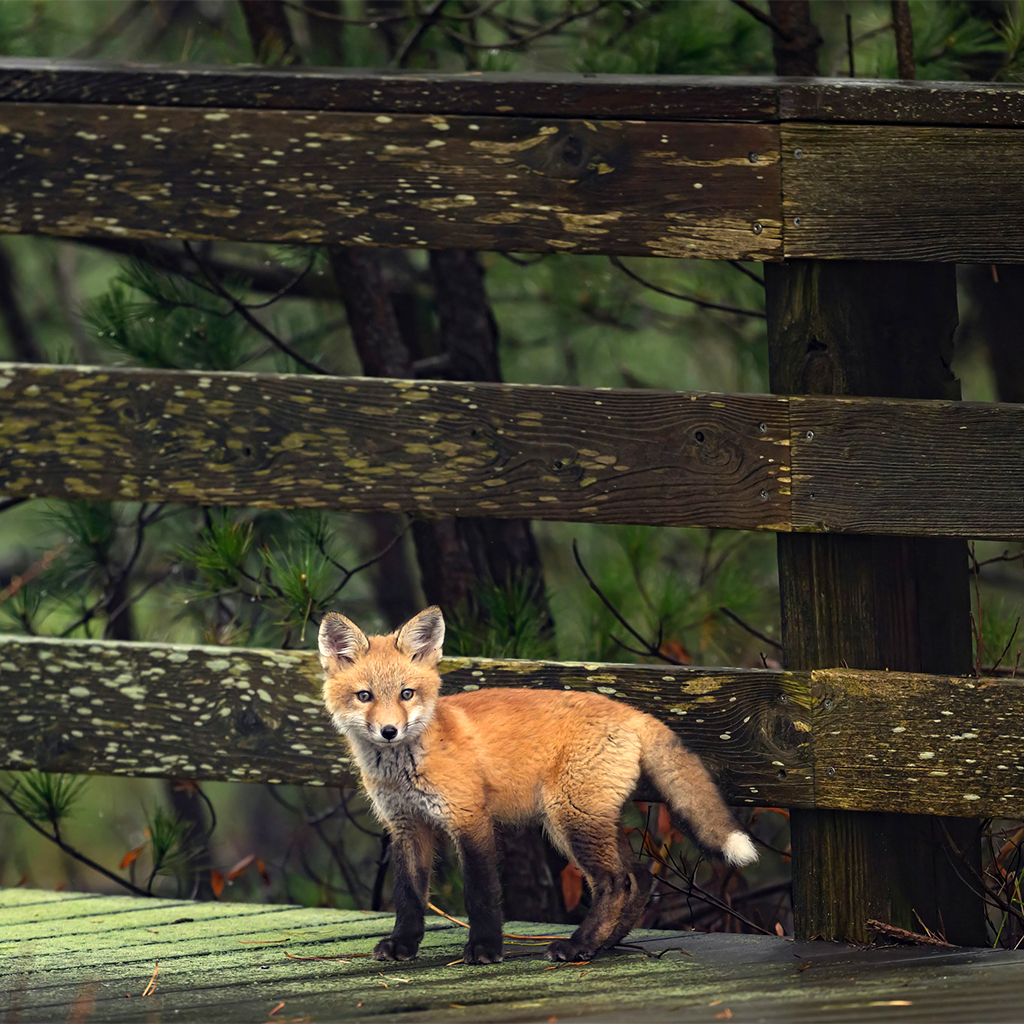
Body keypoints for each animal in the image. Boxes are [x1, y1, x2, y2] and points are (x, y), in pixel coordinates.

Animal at [318, 605, 757, 966]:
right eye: (364, 696)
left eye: (407, 694)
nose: (389, 731)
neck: (406, 767)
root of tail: (631, 711)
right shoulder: (407, 826)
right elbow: (409, 895)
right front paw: (403, 945)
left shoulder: (469, 818)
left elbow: (480, 892)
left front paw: (485, 949)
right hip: (581, 822)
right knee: (639, 878)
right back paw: (606, 943)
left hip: (571, 820)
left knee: (616, 882)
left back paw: (579, 946)